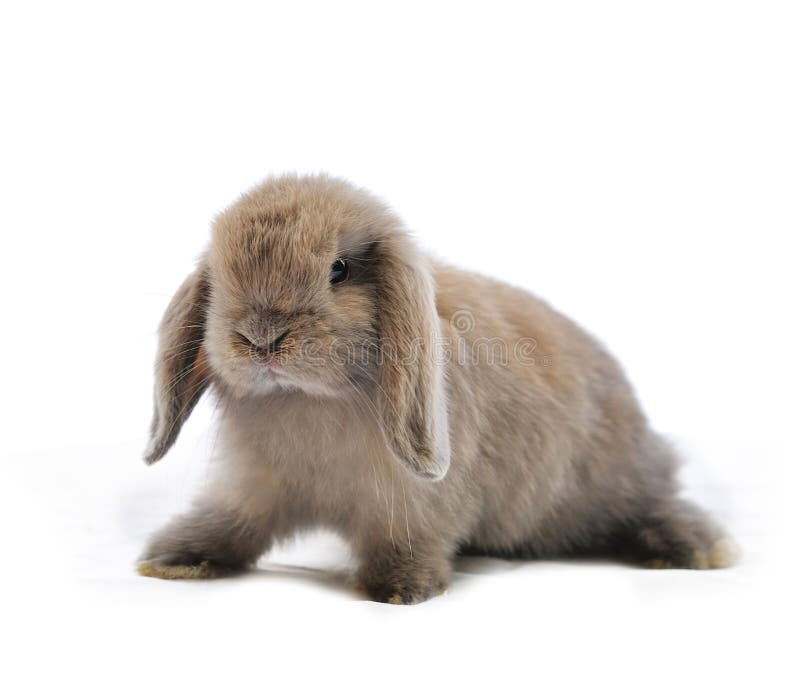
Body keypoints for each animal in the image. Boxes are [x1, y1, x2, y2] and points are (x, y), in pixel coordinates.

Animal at [137, 173, 737, 603]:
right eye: (221, 273)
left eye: (339, 269)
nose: (262, 337)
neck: (308, 400)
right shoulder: (253, 486)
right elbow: (230, 525)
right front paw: (174, 559)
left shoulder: (416, 501)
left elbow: (408, 537)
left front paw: (400, 589)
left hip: (620, 485)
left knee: (660, 506)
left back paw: (697, 549)